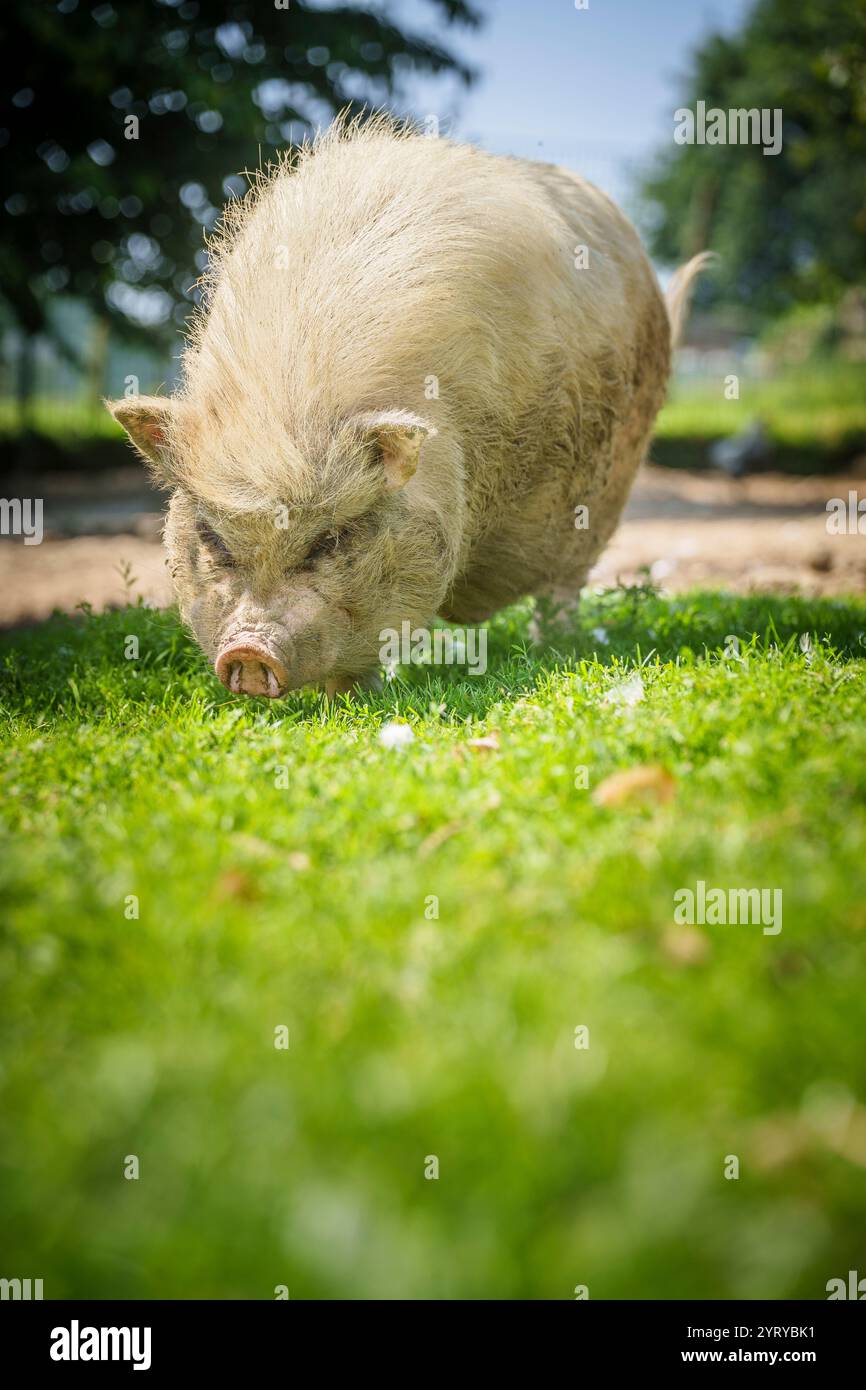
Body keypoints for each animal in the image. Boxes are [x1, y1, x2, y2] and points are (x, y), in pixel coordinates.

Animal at [108, 114, 707, 698]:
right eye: (211, 537)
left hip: (600, 498)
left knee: (562, 587)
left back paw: (552, 649)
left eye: (329, 540)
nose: (250, 652)